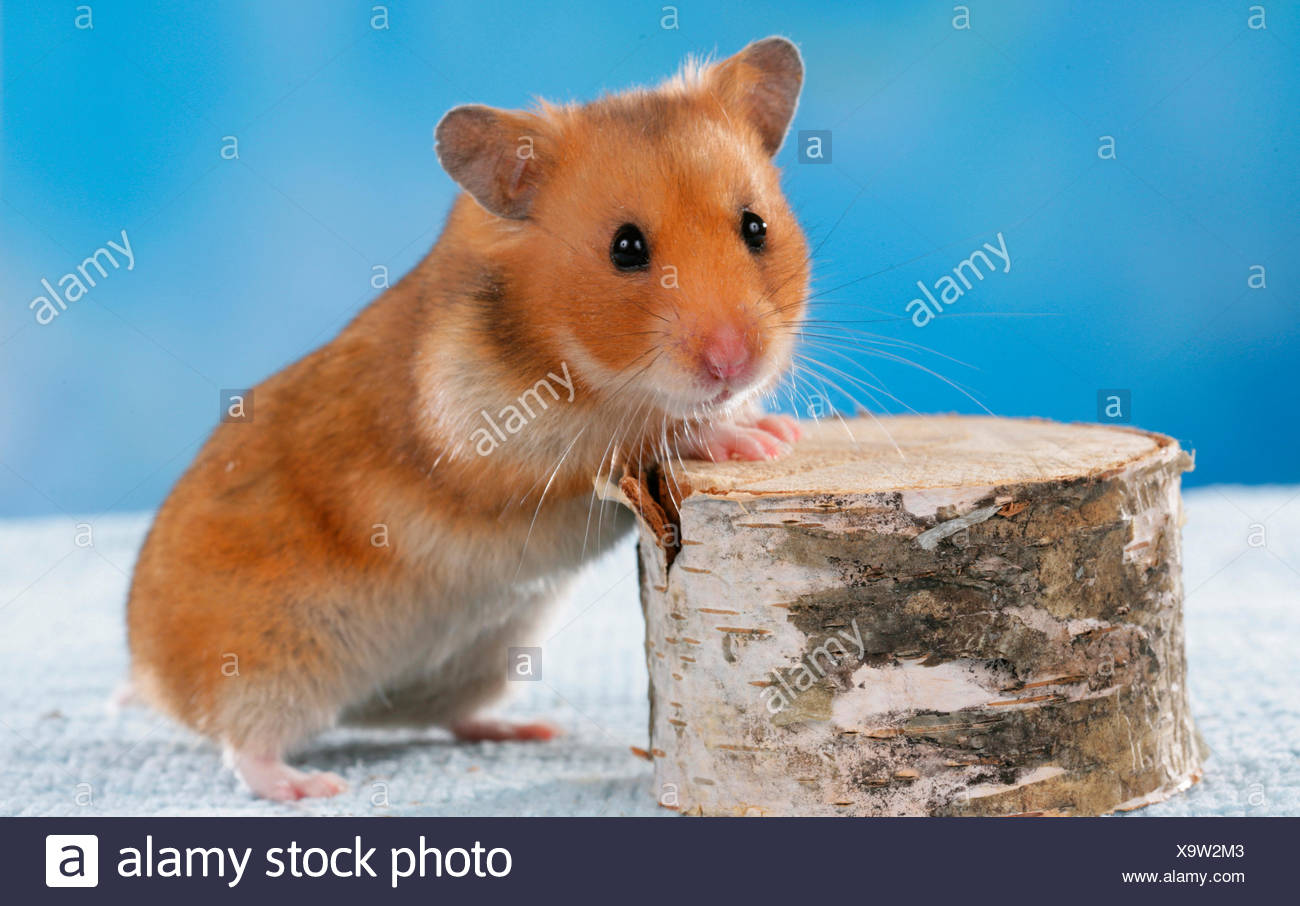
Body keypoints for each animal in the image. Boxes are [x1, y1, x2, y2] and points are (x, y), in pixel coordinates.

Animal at [125, 36, 811, 801]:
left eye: (755, 226)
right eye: (626, 247)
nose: (735, 363)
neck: (556, 347)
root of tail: (145, 668)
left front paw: (777, 429)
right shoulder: (492, 435)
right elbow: (628, 432)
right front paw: (750, 437)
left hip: (476, 661)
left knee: (449, 718)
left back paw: (526, 731)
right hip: (268, 662)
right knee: (241, 742)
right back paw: (307, 787)